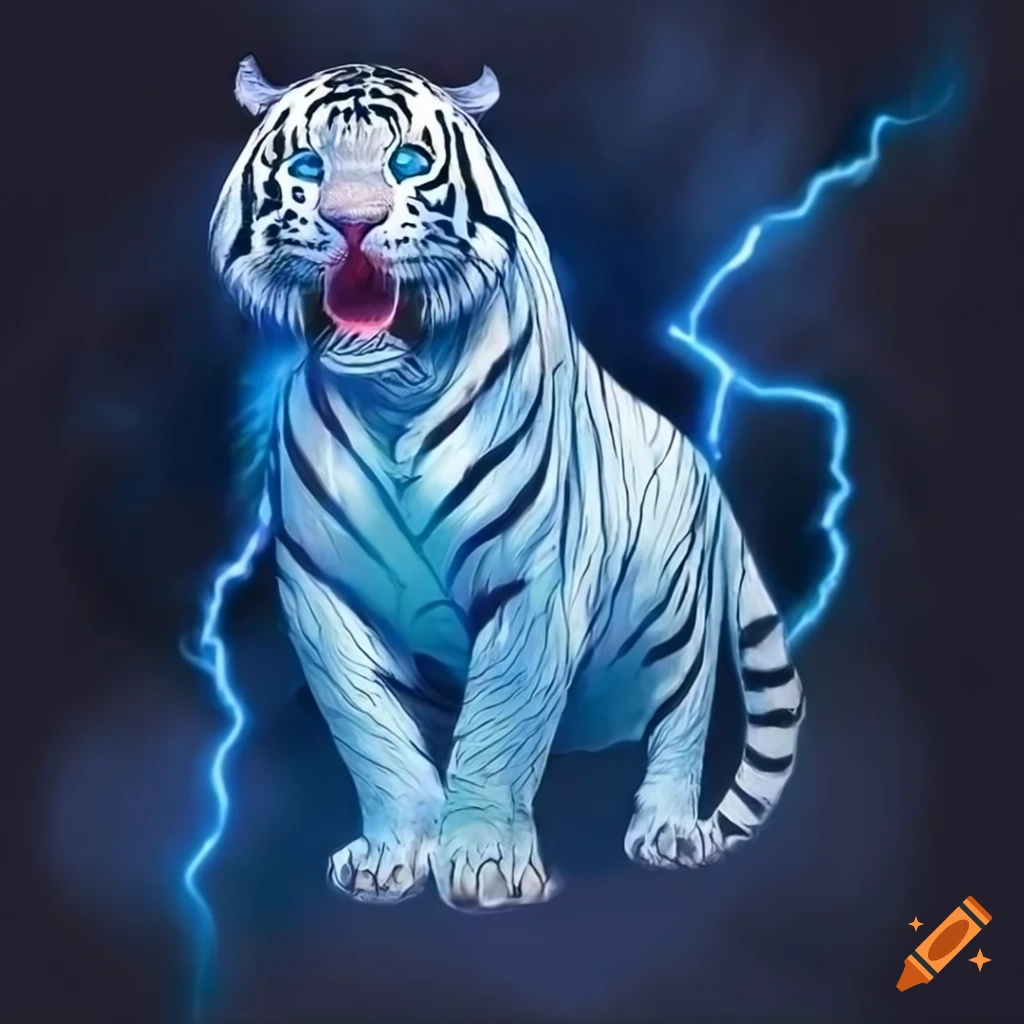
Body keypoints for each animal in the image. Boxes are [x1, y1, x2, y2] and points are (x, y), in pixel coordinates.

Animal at [209, 56, 805, 912]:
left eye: (407, 163)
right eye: (309, 167)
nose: (352, 224)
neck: (393, 395)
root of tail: (707, 469)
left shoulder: (532, 583)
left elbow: (498, 729)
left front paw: (486, 864)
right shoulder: (321, 592)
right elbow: (369, 730)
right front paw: (391, 855)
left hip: (681, 630)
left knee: (682, 726)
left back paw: (667, 832)